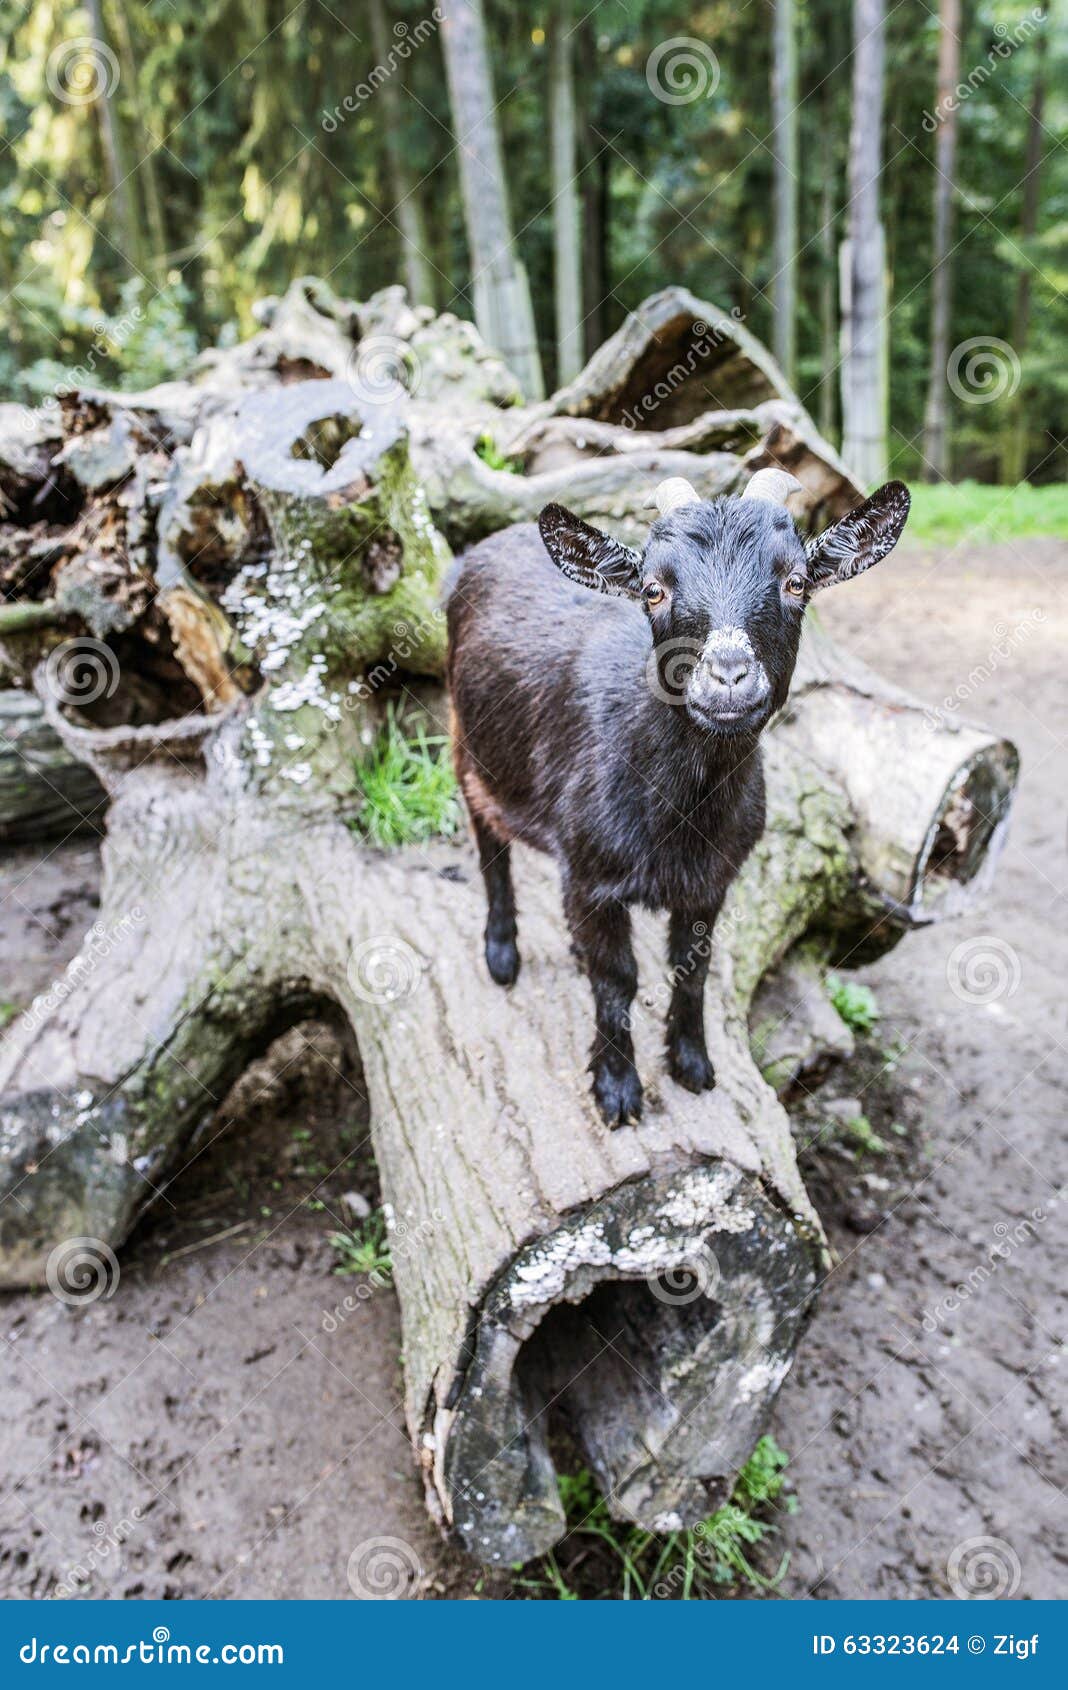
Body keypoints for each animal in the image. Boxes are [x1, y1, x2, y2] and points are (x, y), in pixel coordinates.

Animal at [446, 469, 910, 1126]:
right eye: (652, 590)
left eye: (796, 582)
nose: (729, 675)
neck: (682, 814)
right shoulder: (591, 873)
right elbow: (617, 980)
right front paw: (617, 1090)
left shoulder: (710, 881)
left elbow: (693, 970)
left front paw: (692, 1064)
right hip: (466, 742)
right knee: (488, 839)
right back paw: (502, 953)